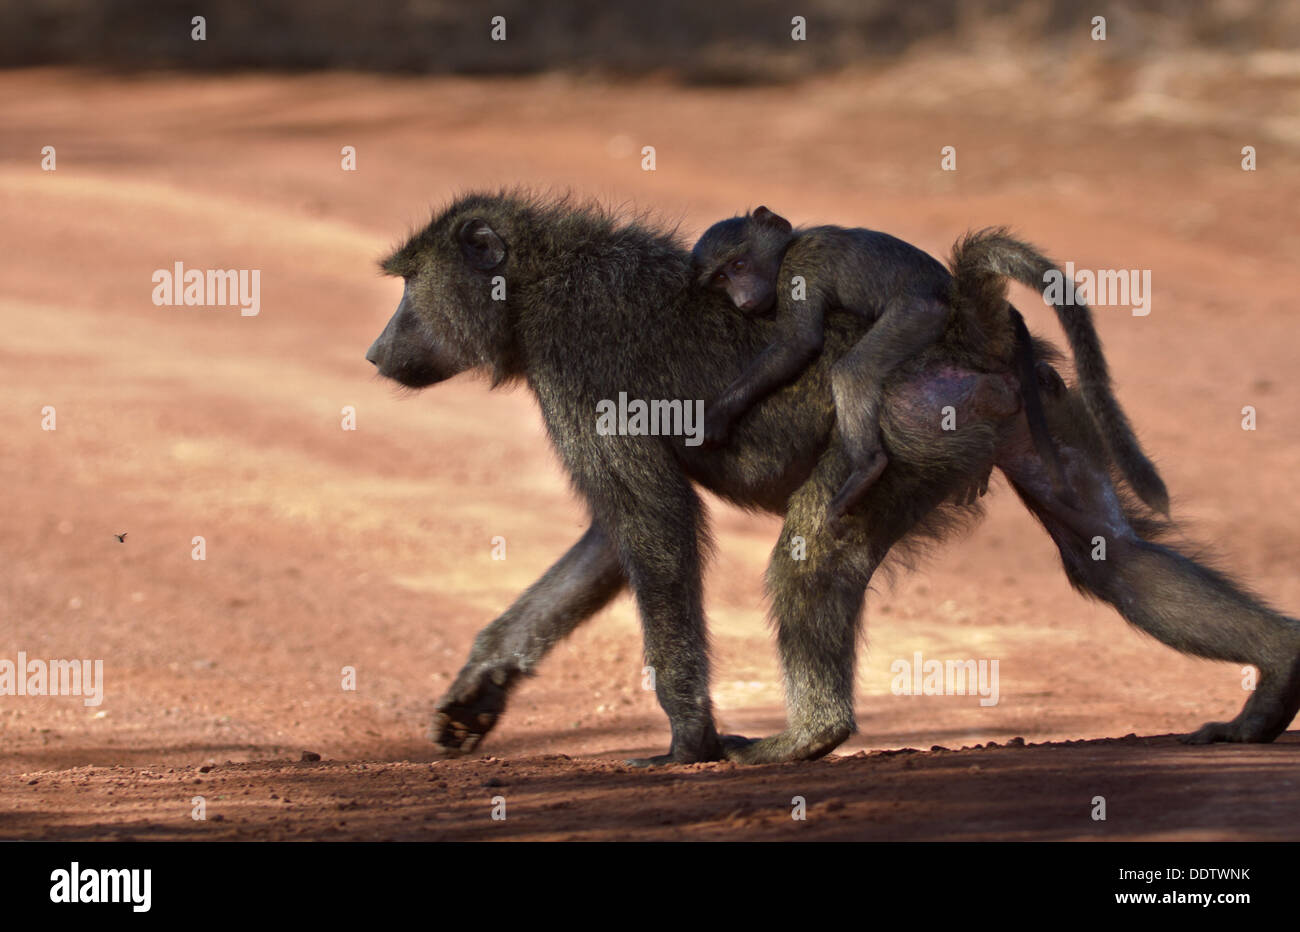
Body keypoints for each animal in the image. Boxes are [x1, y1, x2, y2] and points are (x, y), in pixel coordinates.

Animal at [691, 208, 1169, 521]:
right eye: (720, 278)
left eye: (738, 264)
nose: (742, 299)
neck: (791, 245)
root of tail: (953, 297)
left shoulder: (801, 272)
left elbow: (797, 343)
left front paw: (716, 416)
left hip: (918, 315)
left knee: (853, 369)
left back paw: (866, 468)